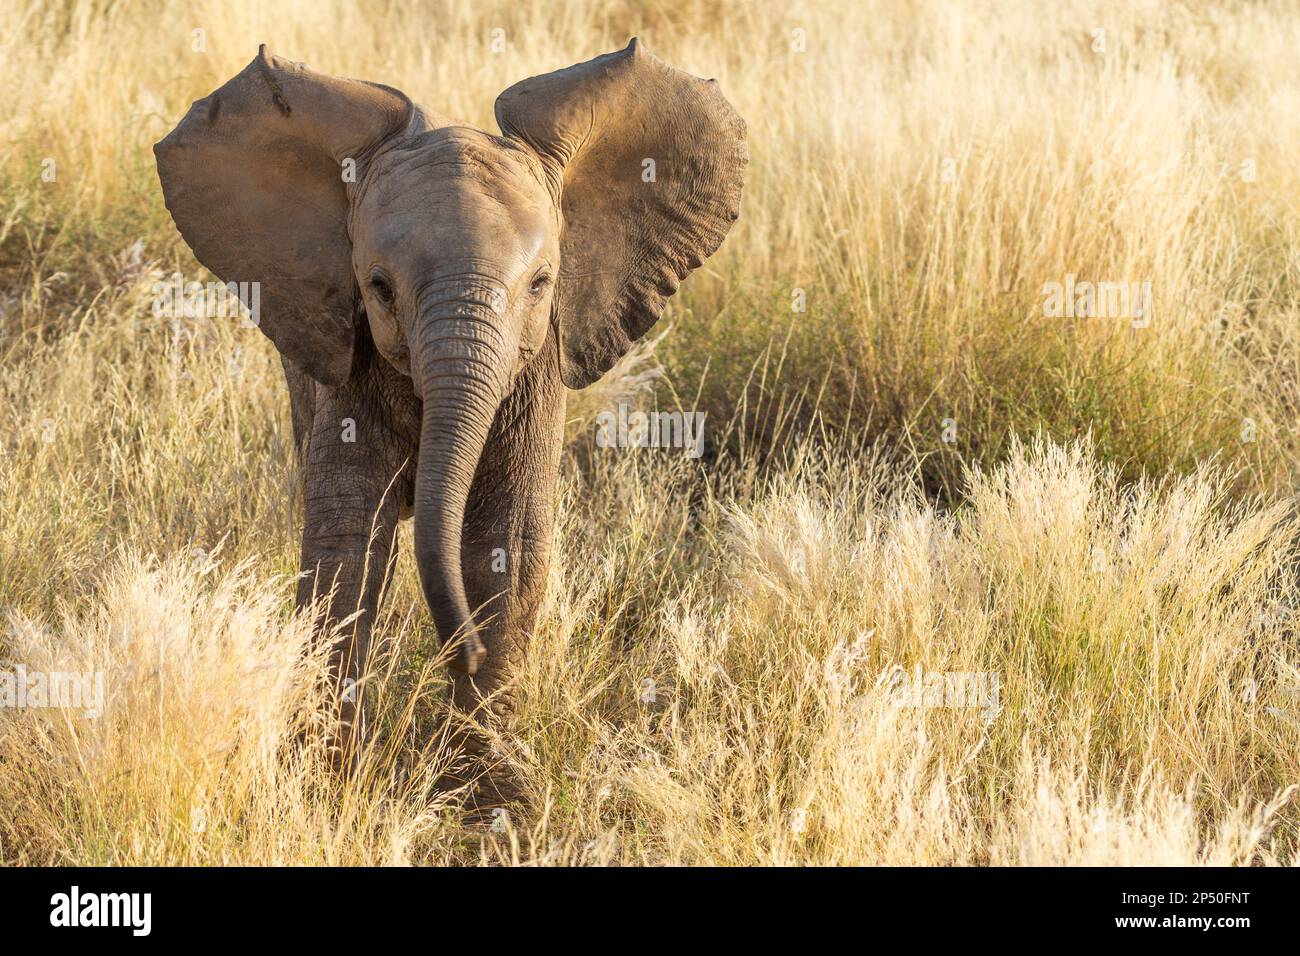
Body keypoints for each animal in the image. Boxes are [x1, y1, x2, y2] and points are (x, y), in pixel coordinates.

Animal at [154, 39, 746, 785]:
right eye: (379, 287)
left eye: (541, 284)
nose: (459, 652)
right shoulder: (347, 356)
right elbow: (348, 540)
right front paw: (325, 772)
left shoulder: (537, 366)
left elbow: (507, 542)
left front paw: (486, 786)